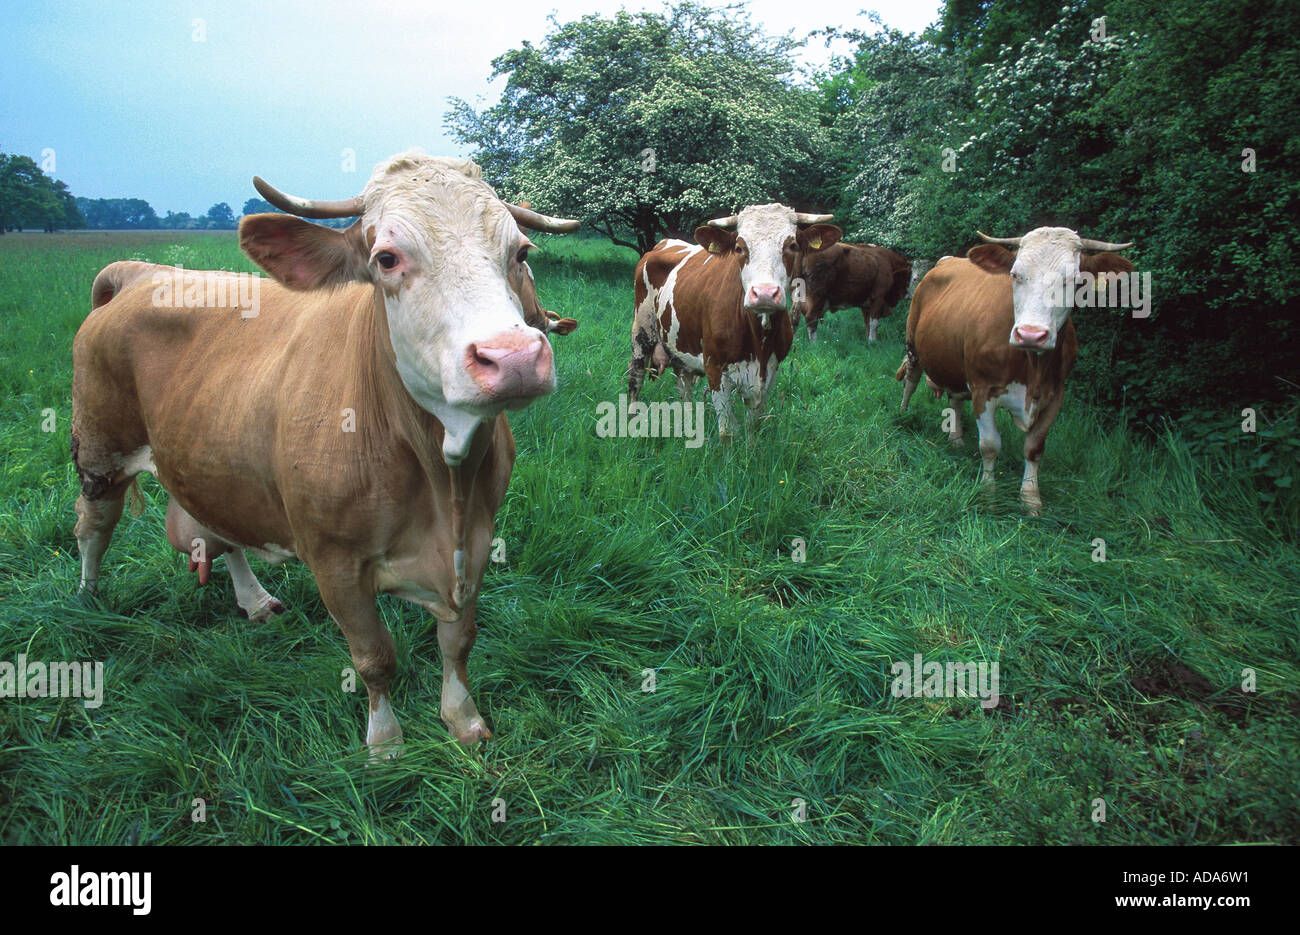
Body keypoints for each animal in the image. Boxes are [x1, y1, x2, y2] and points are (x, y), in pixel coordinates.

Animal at [70, 153, 579, 755]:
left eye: (520, 252)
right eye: (386, 258)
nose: (515, 357)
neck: (442, 480)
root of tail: (144, 273)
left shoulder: (476, 543)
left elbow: (459, 641)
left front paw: (464, 720)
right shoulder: (334, 563)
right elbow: (376, 658)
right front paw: (385, 745)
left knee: (222, 533)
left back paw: (255, 601)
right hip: (99, 448)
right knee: (93, 526)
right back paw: (89, 601)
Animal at [627, 204, 839, 438]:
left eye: (792, 245)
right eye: (739, 247)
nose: (764, 294)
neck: (758, 342)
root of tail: (664, 243)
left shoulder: (769, 372)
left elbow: (753, 427)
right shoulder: (714, 368)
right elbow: (727, 431)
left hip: (680, 346)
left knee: (684, 389)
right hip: (641, 331)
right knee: (635, 377)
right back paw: (631, 422)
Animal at [895, 227, 1134, 514]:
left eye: (1074, 280)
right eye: (1015, 274)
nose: (1031, 334)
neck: (1033, 370)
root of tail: (946, 261)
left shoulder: (1055, 395)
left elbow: (1034, 448)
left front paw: (1030, 498)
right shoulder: (983, 389)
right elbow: (989, 445)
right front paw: (988, 493)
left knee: (955, 398)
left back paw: (956, 438)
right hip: (913, 344)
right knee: (911, 380)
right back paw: (904, 414)